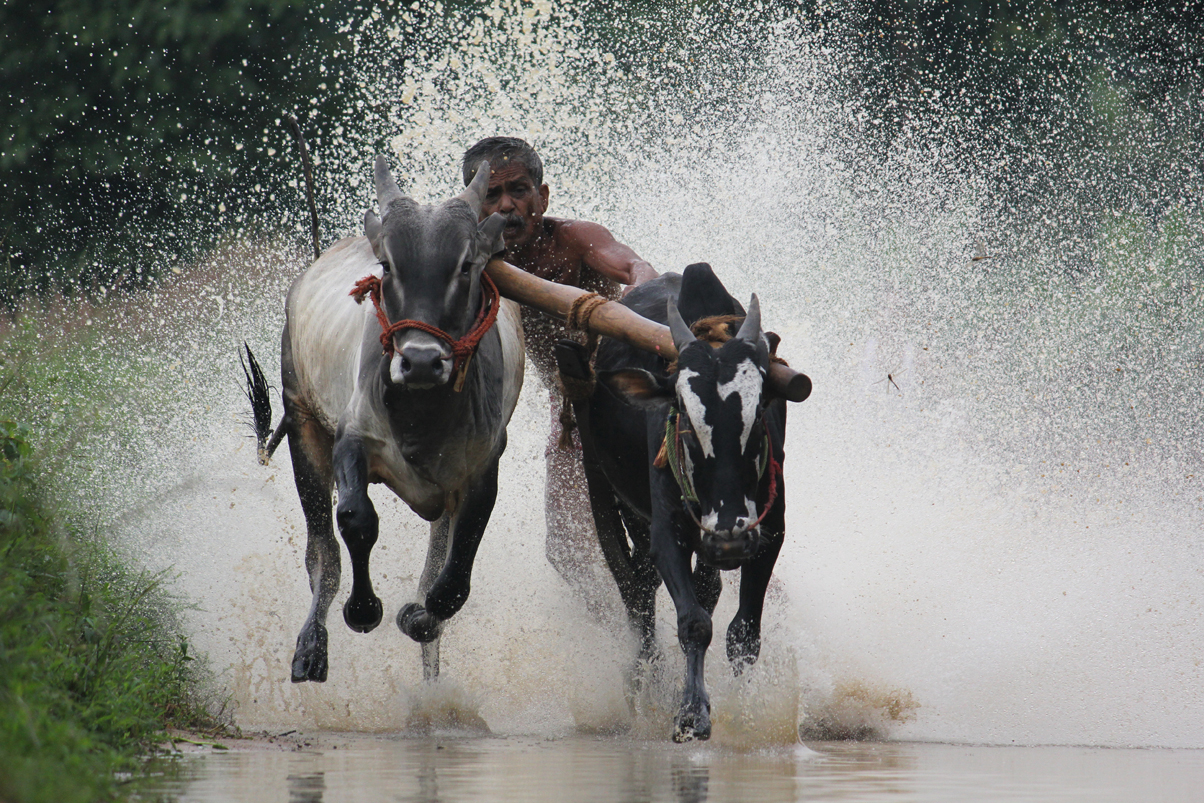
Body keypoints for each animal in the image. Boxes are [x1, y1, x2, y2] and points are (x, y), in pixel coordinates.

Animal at [244, 155, 524, 683]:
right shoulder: (353, 439)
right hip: (303, 423)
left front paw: (417, 615)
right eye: (388, 265)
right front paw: (363, 610)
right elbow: (356, 520)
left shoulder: (481, 469)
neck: (422, 413)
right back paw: (311, 646)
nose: (420, 361)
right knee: (321, 552)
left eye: (466, 265)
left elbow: (451, 582)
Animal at [555, 263, 797, 742]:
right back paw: (643, 683)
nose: (729, 539)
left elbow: (743, 634)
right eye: (683, 411)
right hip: (600, 487)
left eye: (760, 408)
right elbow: (694, 623)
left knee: (690, 587)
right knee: (635, 592)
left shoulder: (771, 532)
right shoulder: (667, 533)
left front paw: (744, 712)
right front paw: (690, 713)